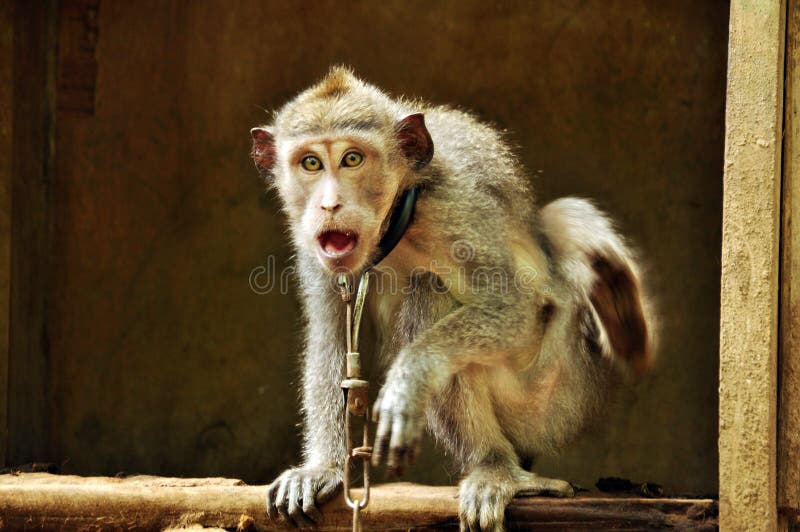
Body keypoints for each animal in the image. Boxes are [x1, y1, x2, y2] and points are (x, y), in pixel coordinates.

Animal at [251, 66, 654, 531]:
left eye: (352, 159)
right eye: (311, 163)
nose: (329, 205)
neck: (396, 221)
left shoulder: (454, 208)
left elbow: (515, 308)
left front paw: (411, 376)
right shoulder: (311, 246)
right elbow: (330, 339)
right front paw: (323, 469)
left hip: (558, 390)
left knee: (441, 287)